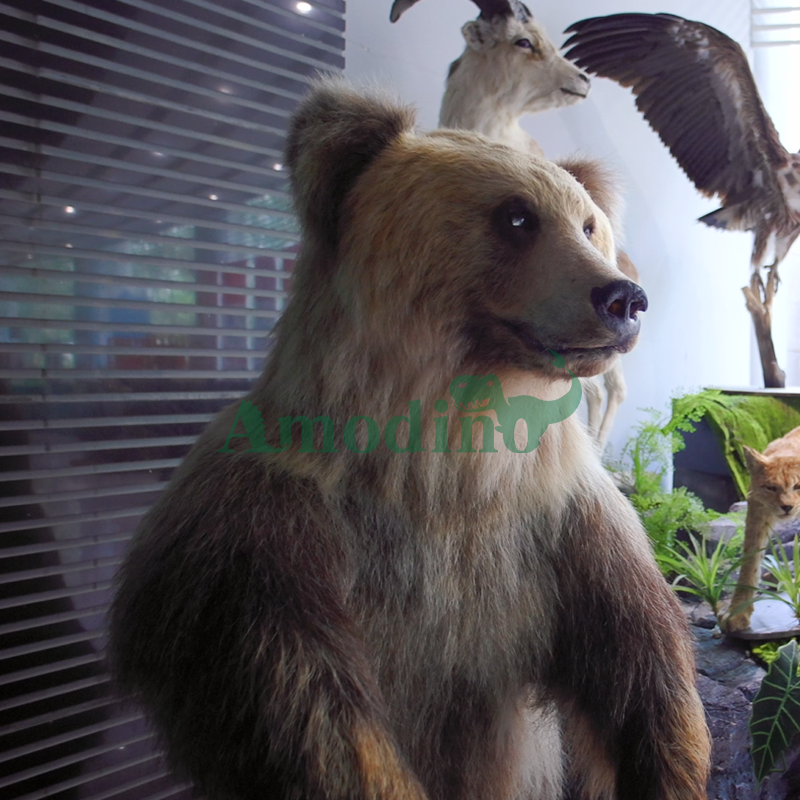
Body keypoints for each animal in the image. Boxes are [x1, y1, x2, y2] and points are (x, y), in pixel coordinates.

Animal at [109, 80, 710, 800]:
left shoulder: (563, 523)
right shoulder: (259, 542)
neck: (444, 464)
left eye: (589, 223)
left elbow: (642, 667)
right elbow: (312, 714)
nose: (624, 297)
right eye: (517, 217)